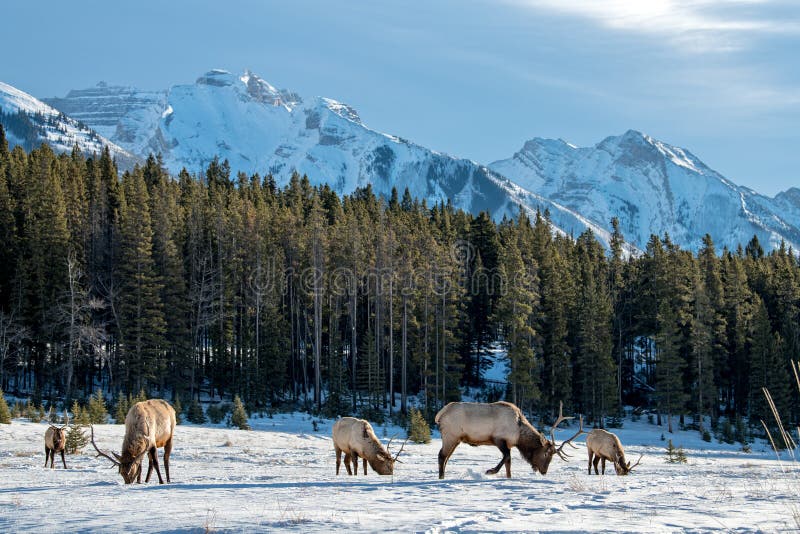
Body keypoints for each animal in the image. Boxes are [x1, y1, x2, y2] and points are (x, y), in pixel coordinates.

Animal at [435, 401, 583, 479]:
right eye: (546, 453)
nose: (544, 471)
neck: (519, 434)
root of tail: (440, 414)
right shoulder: (499, 439)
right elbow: (506, 457)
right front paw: (491, 471)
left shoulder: (508, 444)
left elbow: (509, 462)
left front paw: (509, 476)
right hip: (451, 435)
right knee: (442, 455)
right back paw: (441, 477)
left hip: (456, 439)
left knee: (446, 457)